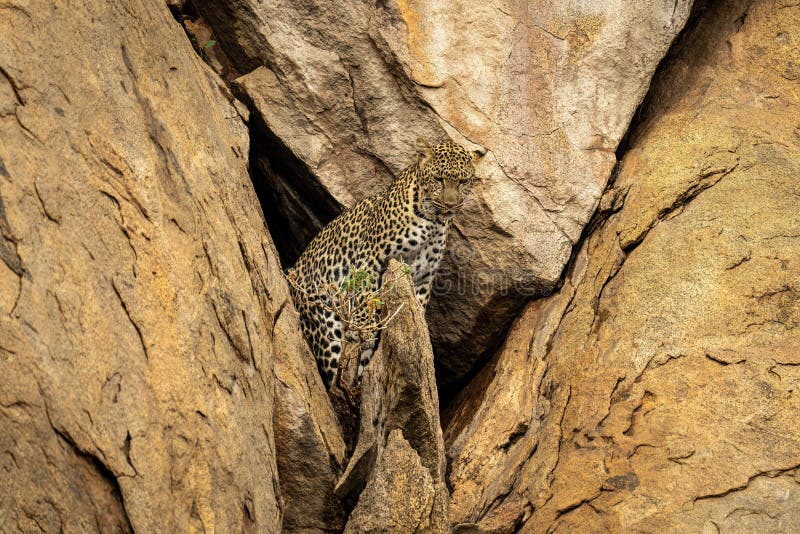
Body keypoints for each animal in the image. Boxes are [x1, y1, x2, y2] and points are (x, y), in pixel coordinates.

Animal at [288, 140, 481, 388]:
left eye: (463, 181)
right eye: (438, 179)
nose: (450, 205)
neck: (433, 221)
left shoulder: (422, 276)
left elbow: (418, 305)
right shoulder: (371, 255)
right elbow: (365, 295)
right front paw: (364, 329)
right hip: (325, 326)